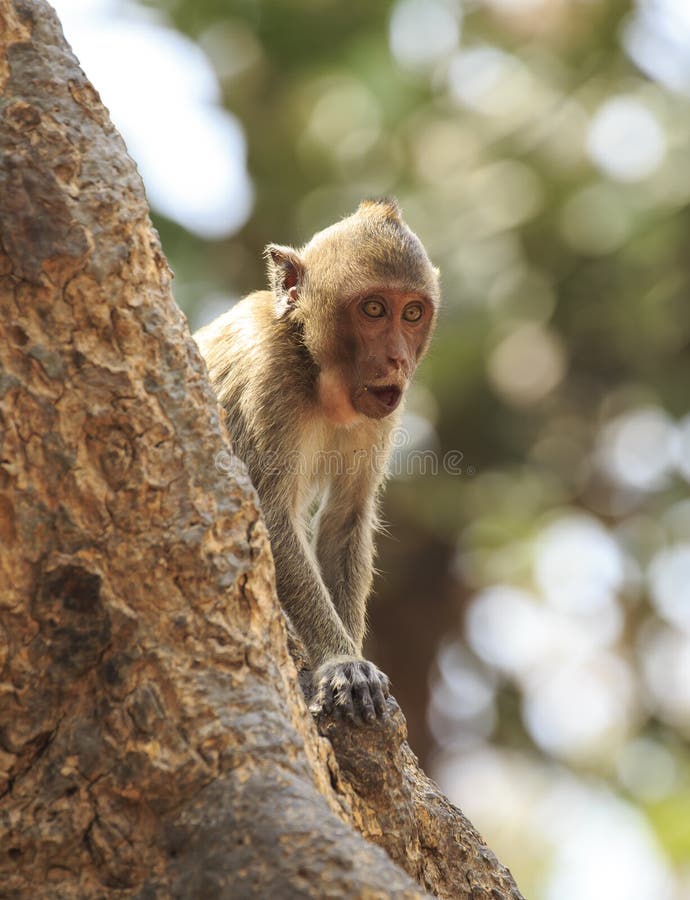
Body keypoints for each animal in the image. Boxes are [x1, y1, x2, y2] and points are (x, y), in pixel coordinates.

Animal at [194, 198, 440, 723]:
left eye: (412, 313)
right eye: (373, 309)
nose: (397, 359)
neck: (314, 366)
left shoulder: (381, 414)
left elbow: (345, 518)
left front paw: (350, 655)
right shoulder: (270, 377)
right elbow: (266, 515)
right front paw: (342, 662)